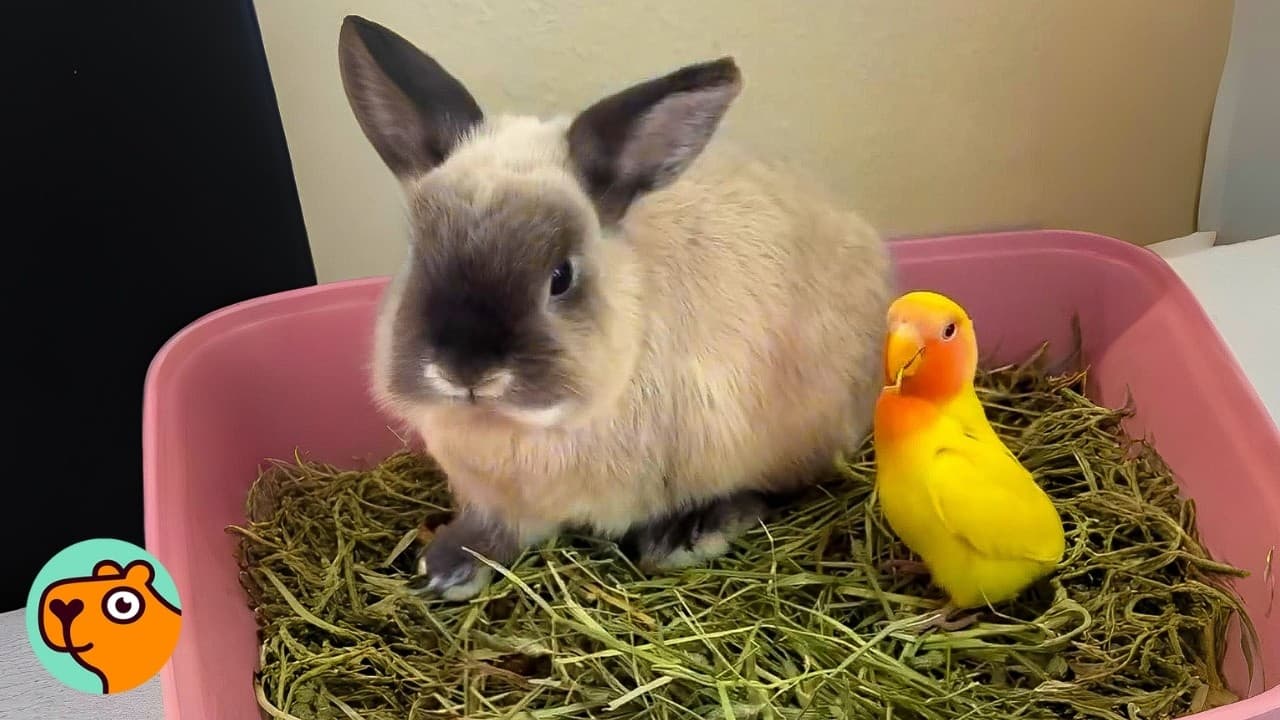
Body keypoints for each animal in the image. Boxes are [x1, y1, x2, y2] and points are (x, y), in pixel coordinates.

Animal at [337, 15, 894, 601]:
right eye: (416, 255)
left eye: (561, 277)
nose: (466, 371)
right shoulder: (506, 503)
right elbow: (496, 531)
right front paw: (446, 566)